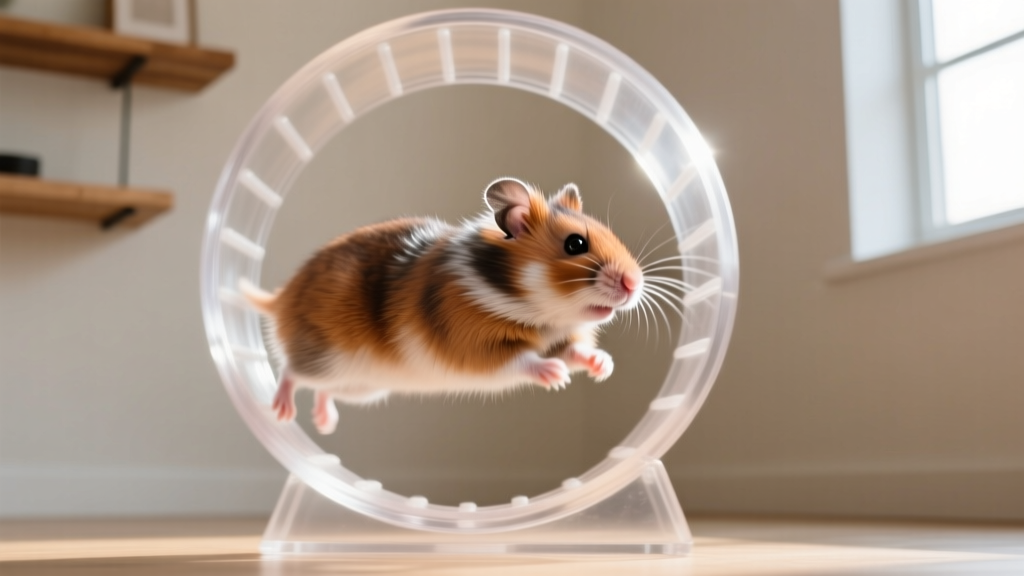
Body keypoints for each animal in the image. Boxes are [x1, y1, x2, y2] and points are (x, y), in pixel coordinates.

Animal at [242, 177, 644, 434]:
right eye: (576, 244)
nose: (635, 284)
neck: (535, 310)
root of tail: (280, 299)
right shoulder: (472, 344)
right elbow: (521, 360)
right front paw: (556, 377)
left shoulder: (562, 338)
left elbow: (576, 351)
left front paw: (603, 367)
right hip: (326, 358)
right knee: (290, 372)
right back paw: (282, 413)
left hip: (361, 388)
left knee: (321, 390)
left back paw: (326, 424)